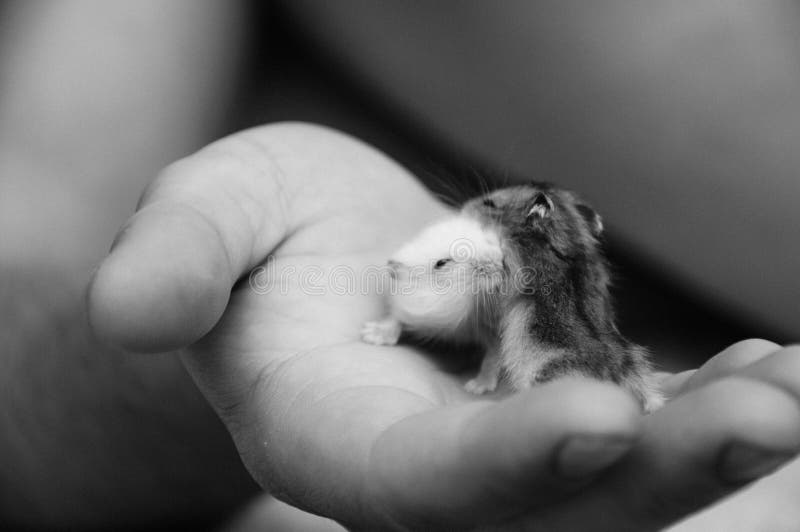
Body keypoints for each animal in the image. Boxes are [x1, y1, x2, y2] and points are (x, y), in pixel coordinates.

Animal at [361, 182, 664, 413]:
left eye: (489, 203)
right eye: (442, 263)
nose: (468, 206)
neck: (571, 249)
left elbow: (492, 357)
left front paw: (476, 388)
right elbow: (397, 317)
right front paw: (372, 336)